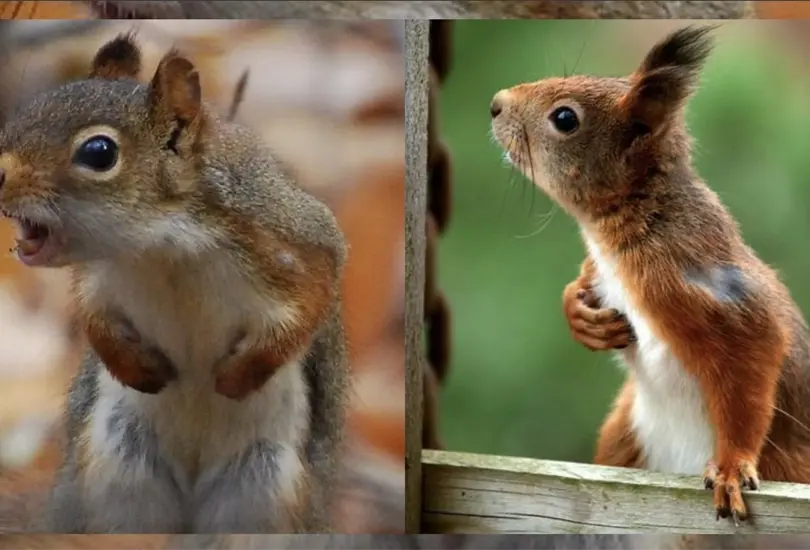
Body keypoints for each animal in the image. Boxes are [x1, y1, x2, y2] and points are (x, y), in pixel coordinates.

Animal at [0, 32, 349, 533]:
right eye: (27, 113)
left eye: (99, 152)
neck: (161, 249)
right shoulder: (100, 277)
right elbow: (93, 317)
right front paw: (136, 368)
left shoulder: (289, 240)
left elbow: (315, 296)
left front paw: (239, 375)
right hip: (120, 465)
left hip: (264, 488)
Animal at [490, 25, 810, 524]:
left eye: (564, 118)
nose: (496, 103)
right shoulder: (601, 268)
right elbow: (581, 284)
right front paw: (582, 317)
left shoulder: (704, 283)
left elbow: (754, 363)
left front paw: (732, 469)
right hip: (623, 435)